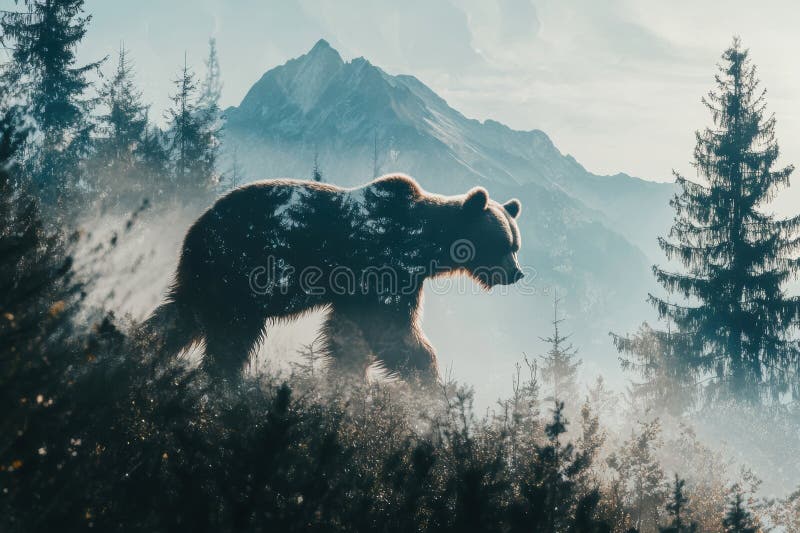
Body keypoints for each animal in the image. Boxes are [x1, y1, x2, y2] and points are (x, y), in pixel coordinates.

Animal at [145, 174, 523, 383]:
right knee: (232, 334)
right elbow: (390, 329)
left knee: (181, 314)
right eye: (503, 244)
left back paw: (144, 347)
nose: (516, 273)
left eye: (516, 244)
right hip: (239, 272)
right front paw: (425, 376)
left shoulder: (359, 289)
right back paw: (224, 379)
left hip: (208, 279)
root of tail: (198, 225)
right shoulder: (383, 268)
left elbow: (348, 335)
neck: (423, 246)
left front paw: (345, 381)